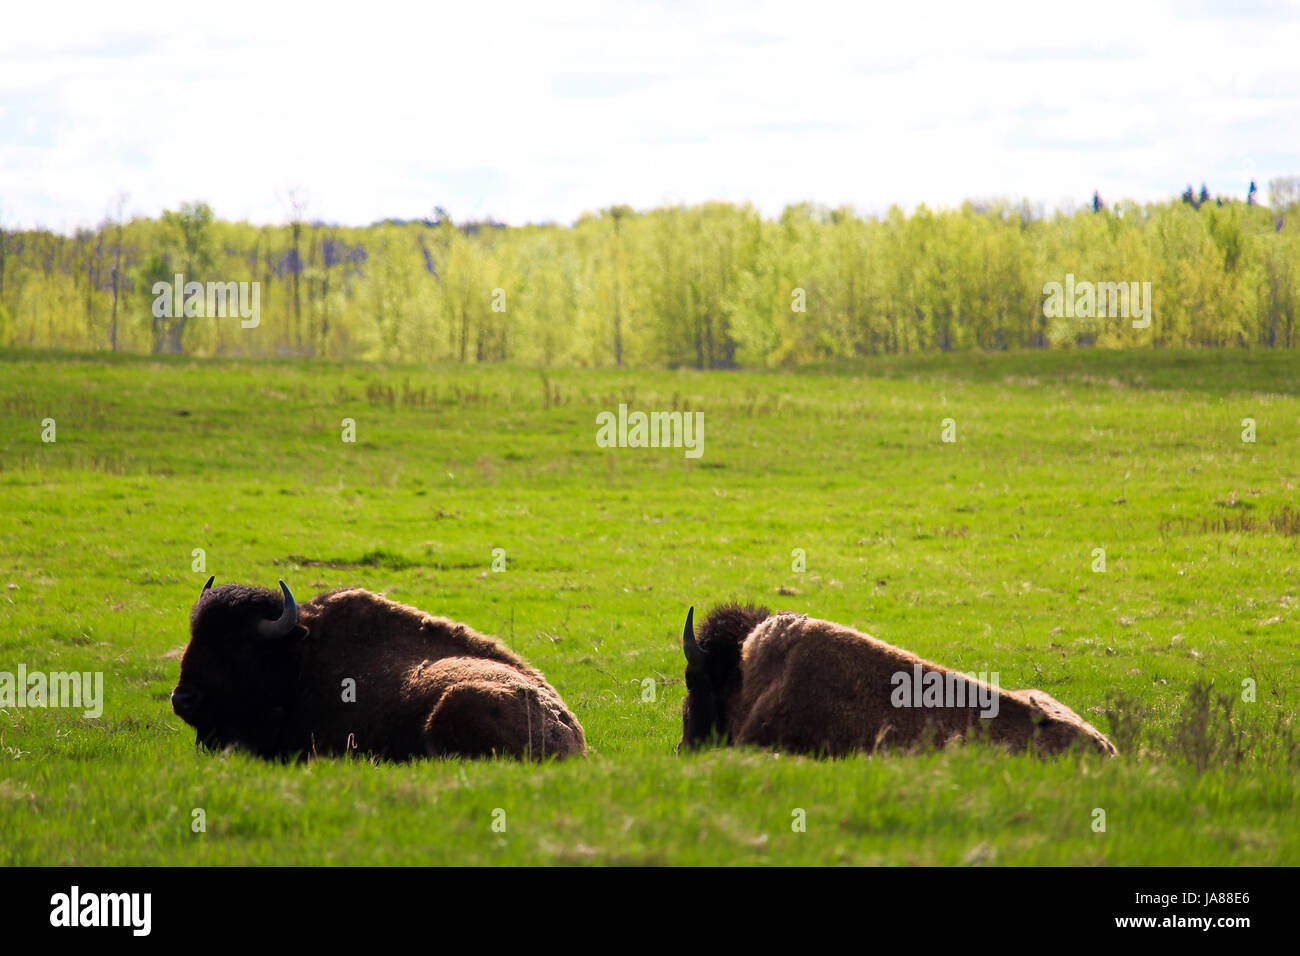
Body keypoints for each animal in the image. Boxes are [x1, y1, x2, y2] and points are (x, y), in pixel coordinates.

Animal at [172, 577, 586, 761]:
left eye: (239, 645)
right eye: (194, 636)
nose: (182, 698)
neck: (299, 654)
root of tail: (573, 736)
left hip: (460, 698)